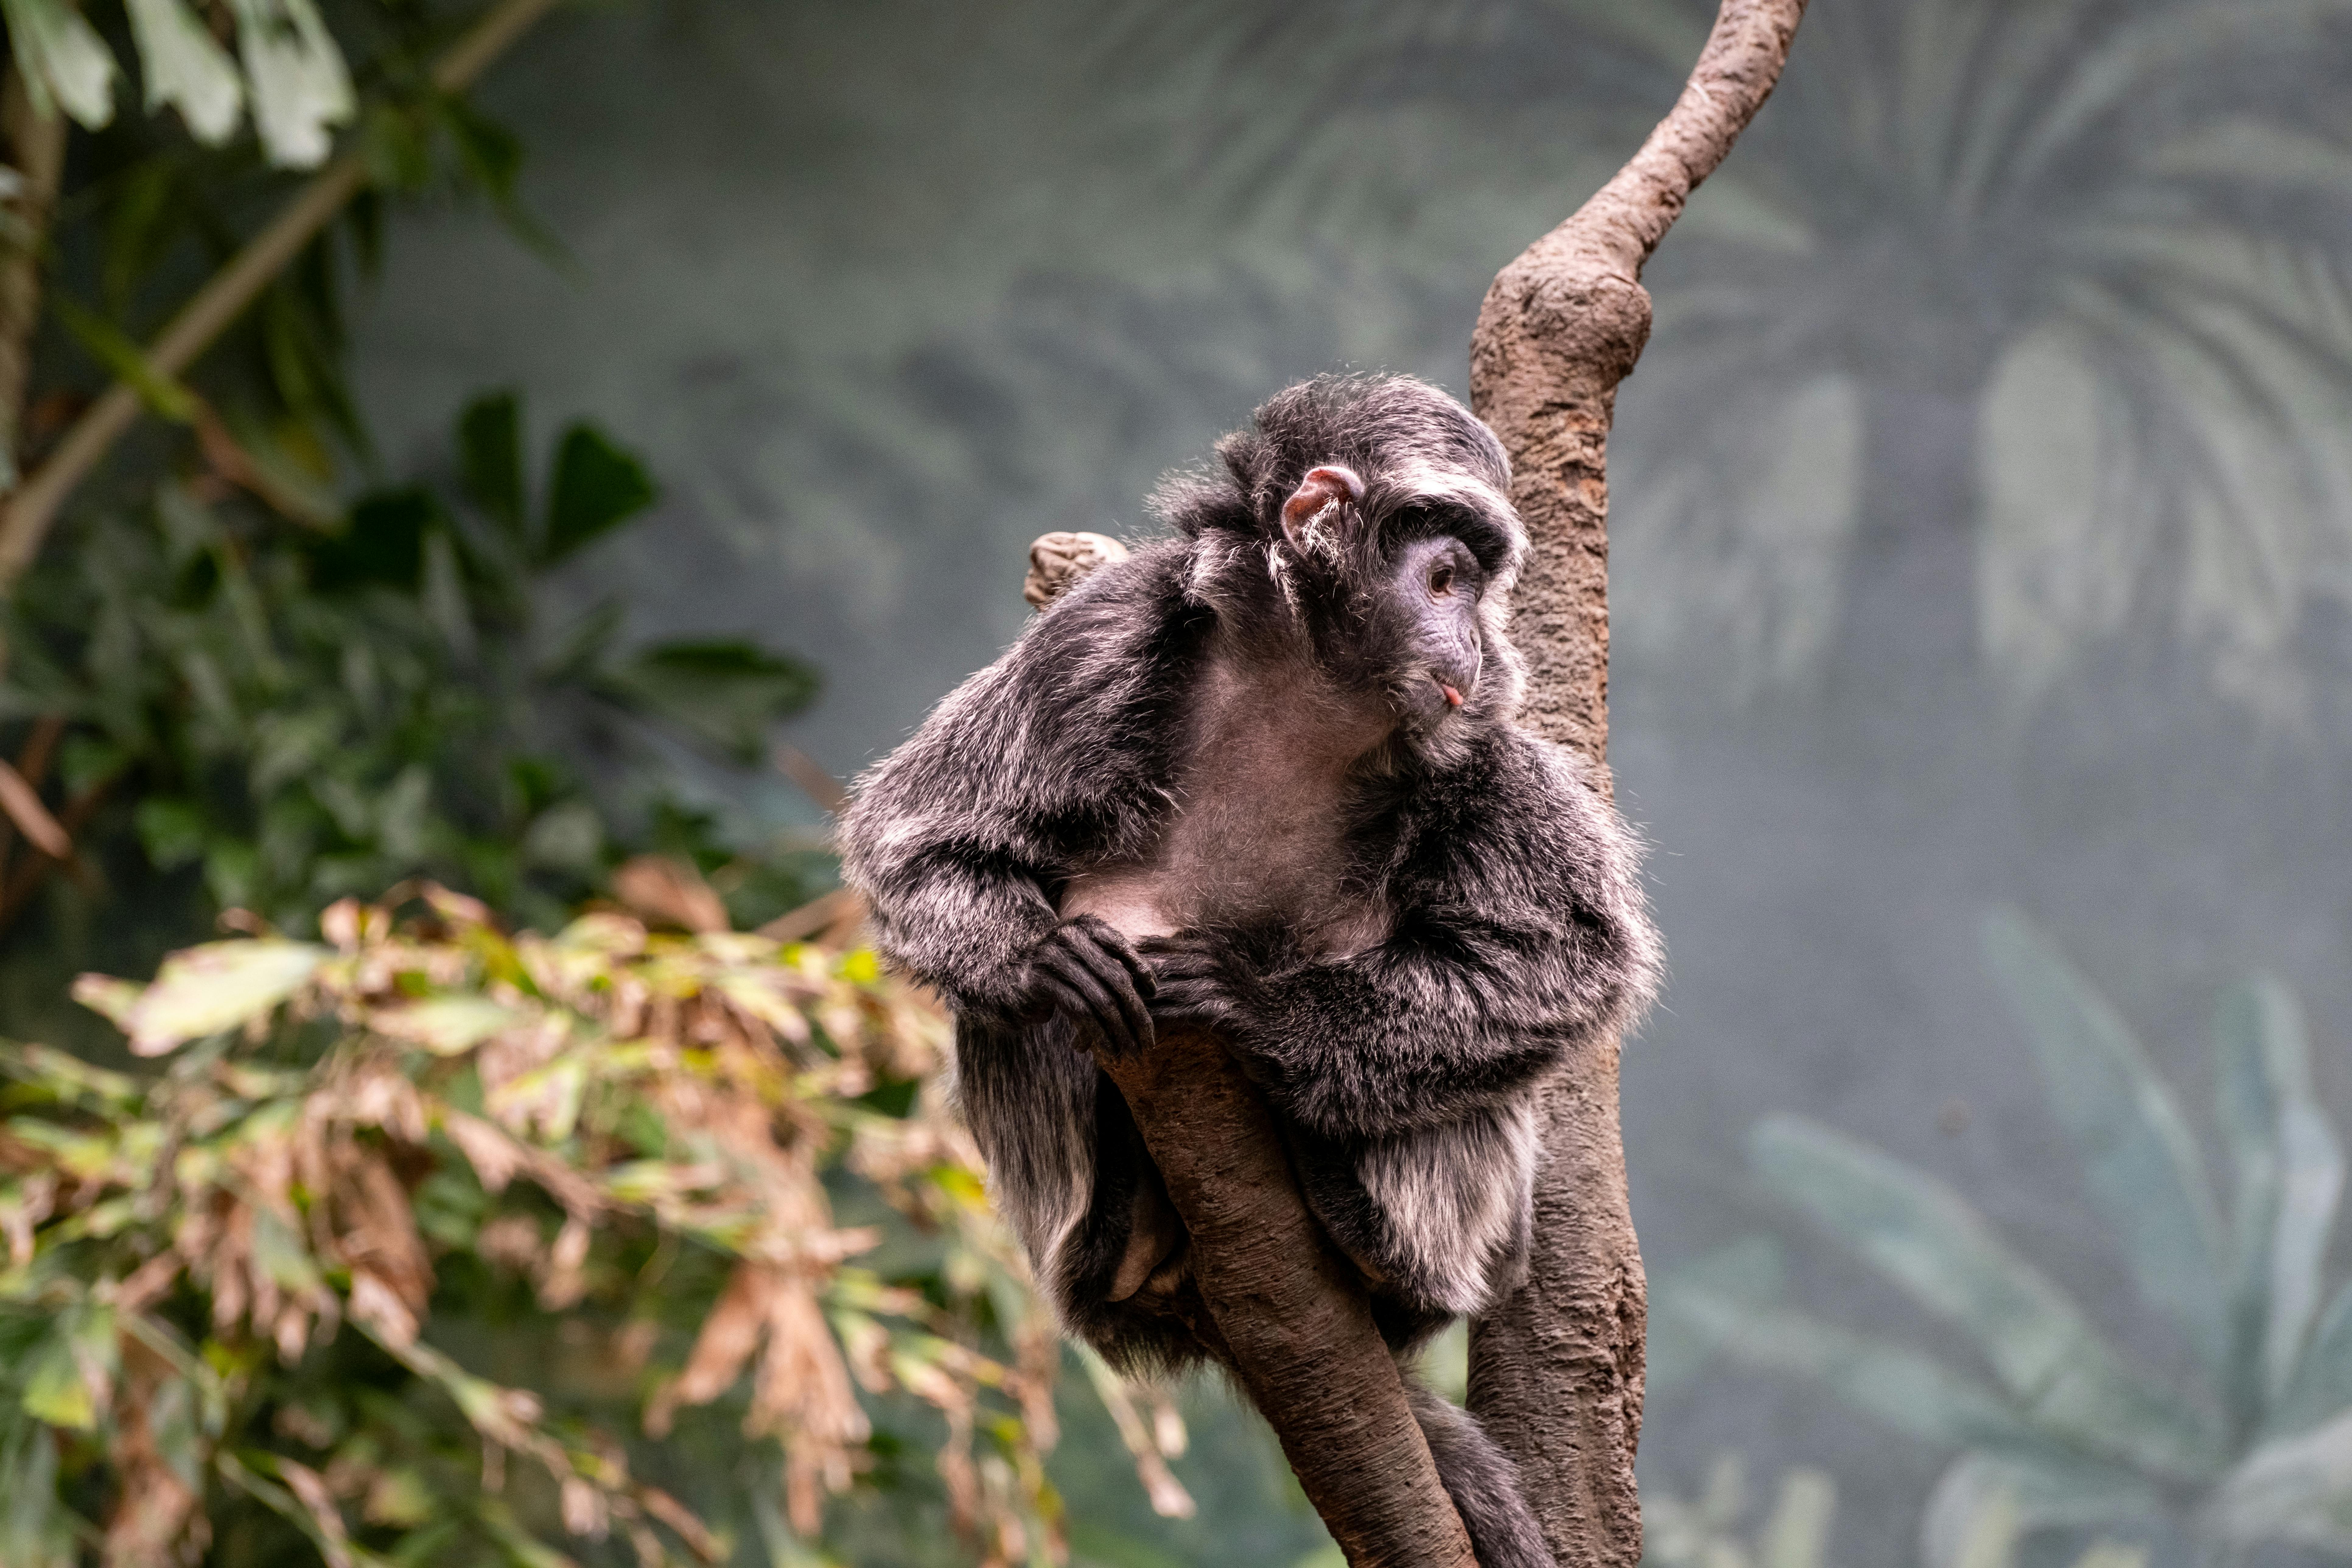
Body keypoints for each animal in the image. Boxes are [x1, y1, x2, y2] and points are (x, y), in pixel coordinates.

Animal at [840, 373, 1661, 1567]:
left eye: (1478, 589)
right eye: (1445, 578)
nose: (1476, 636)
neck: (1302, 689)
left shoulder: (1477, 727)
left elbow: (1567, 959)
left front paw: (1257, 1012)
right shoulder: (1099, 629)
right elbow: (922, 834)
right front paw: (1043, 956)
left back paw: (1373, 1231)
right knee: (1003, 1003)